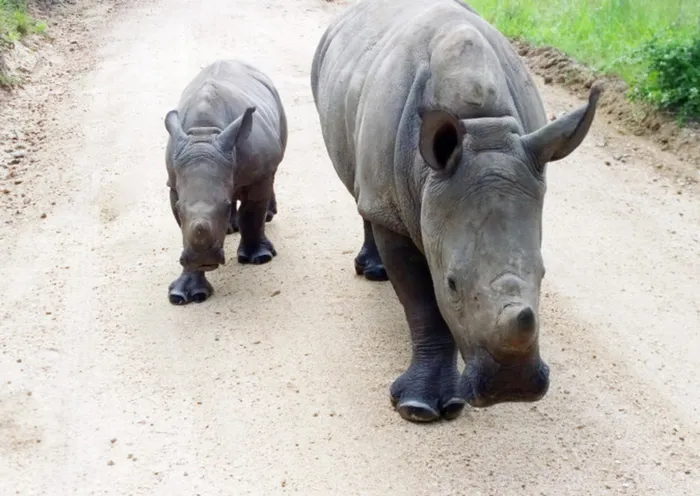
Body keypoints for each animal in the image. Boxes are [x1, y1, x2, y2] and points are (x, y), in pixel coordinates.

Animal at [164, 59, 287, 305]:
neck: (204, 133)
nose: (203, 259)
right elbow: (183, 230)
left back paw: (268, 216)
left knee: (272, 173)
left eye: (225, 205)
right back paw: (231, 228)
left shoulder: (258, 174)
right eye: (179, 209)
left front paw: (259, 258)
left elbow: (252, 214)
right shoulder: (173, 183)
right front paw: (184, 295)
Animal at [310, 0, 601, 422]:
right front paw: (418, 409)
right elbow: (422, 302)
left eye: (544, 273)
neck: (482, 125)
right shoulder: (401, 210)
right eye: (451, 284)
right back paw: (373, 271)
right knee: (365, 196)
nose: (511, 389)